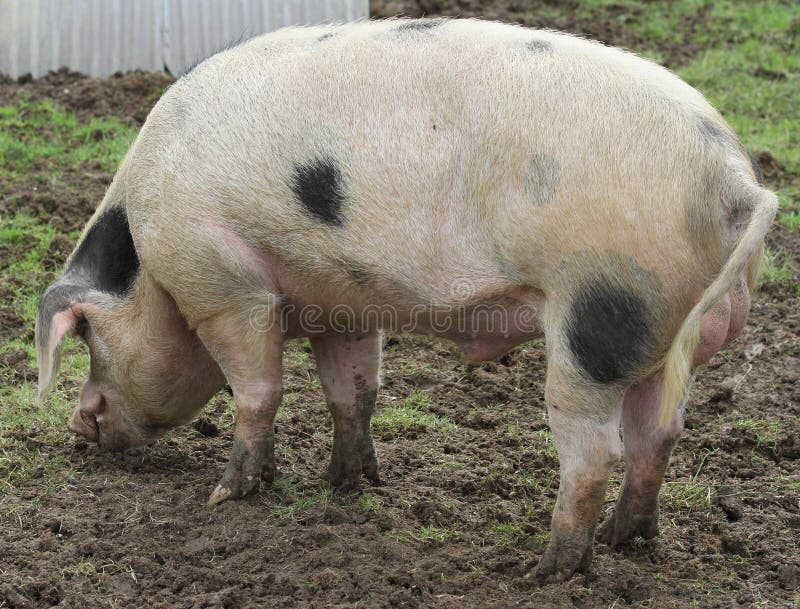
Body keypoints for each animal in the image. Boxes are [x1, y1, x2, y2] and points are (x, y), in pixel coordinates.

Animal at [36, 19, 777, 583]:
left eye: (91, 339)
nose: (78, 423)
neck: (147, 252)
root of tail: (735, 181)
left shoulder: (221, 283)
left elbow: (258, 390)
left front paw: (229, 495)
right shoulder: (340, 296)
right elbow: (352, 390)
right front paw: (347, 483)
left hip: (598, 316)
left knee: (594, 452)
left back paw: (546, 572)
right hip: (671, 331)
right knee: (659, 433)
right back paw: (632, 541)